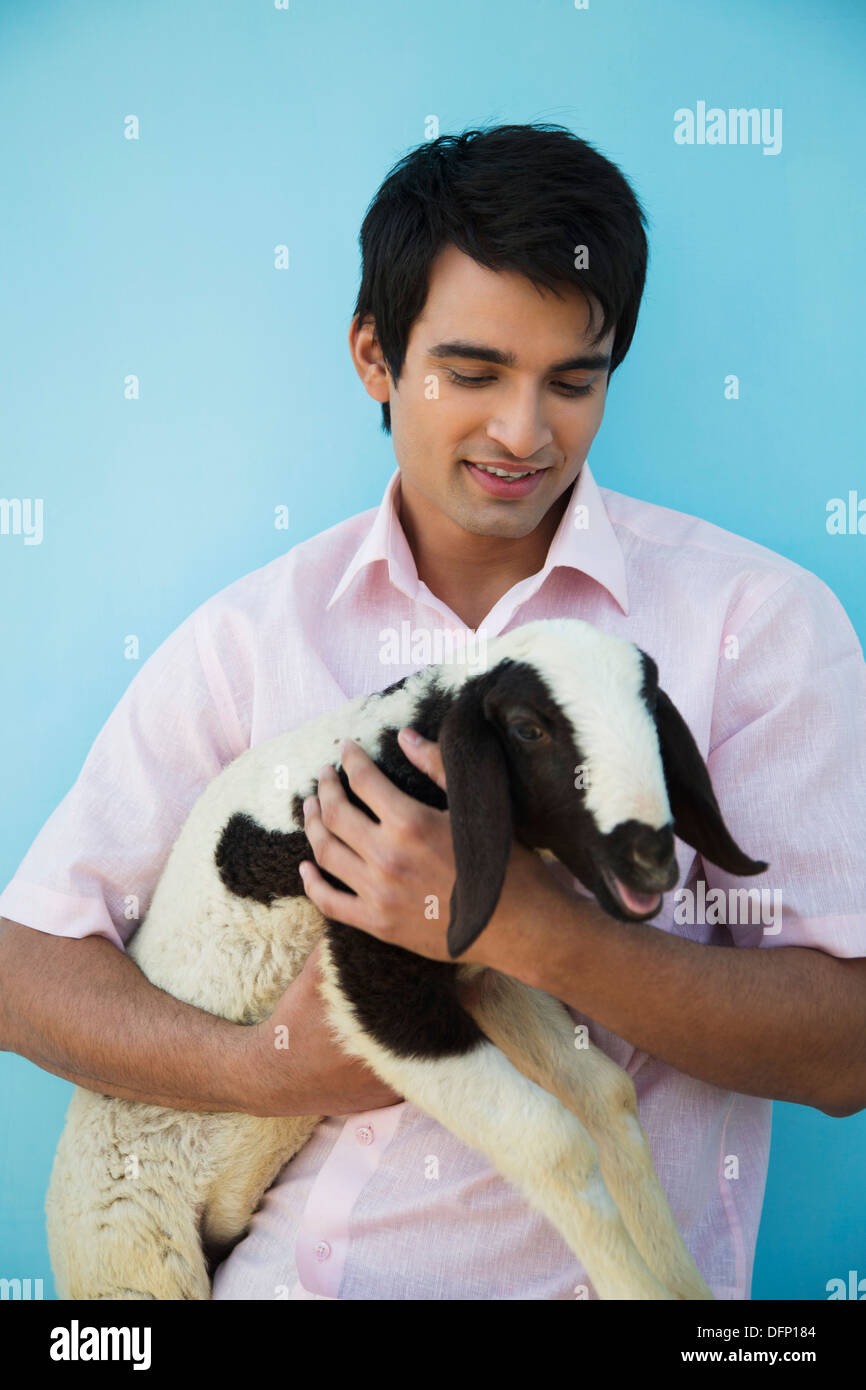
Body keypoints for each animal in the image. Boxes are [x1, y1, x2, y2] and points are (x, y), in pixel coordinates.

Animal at [45, 615, 768, 1301]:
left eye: (653, 715)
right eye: (528, 730)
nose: (651, 860)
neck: (407, 748)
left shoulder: (479, 975)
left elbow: (604, 1092)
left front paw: (679, 1285)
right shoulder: (371, 967)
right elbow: (551, 1140)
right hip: (135, 1256)